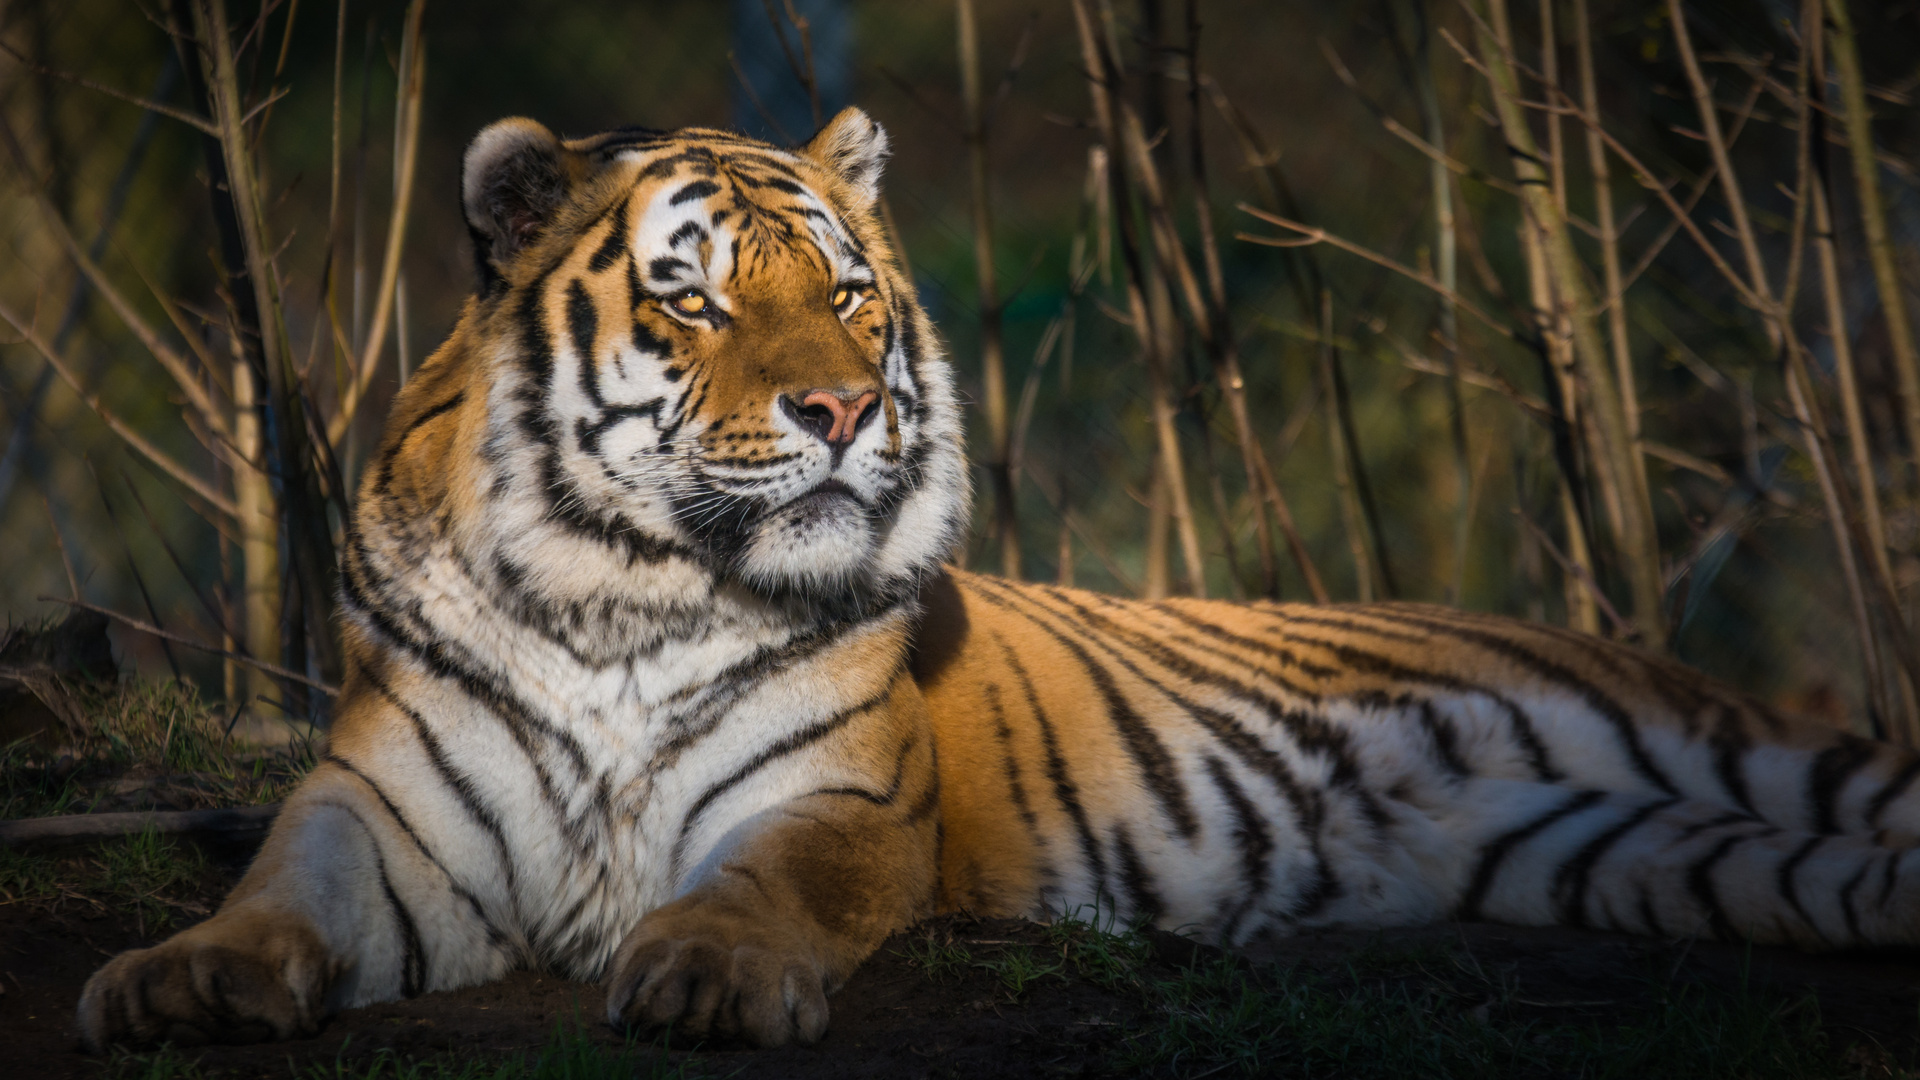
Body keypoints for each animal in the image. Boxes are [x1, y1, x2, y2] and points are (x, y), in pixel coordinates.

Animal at [78, 106, 1920, 1052]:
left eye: (845, 292)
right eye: (691, 297)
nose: (841, 409)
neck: (628, 598)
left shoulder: (834, 801)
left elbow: (762, 890)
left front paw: (703, 975)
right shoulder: (381, 802)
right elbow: (280, 888)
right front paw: (181, 979)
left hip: (1740, 753)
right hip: (1642, 854)